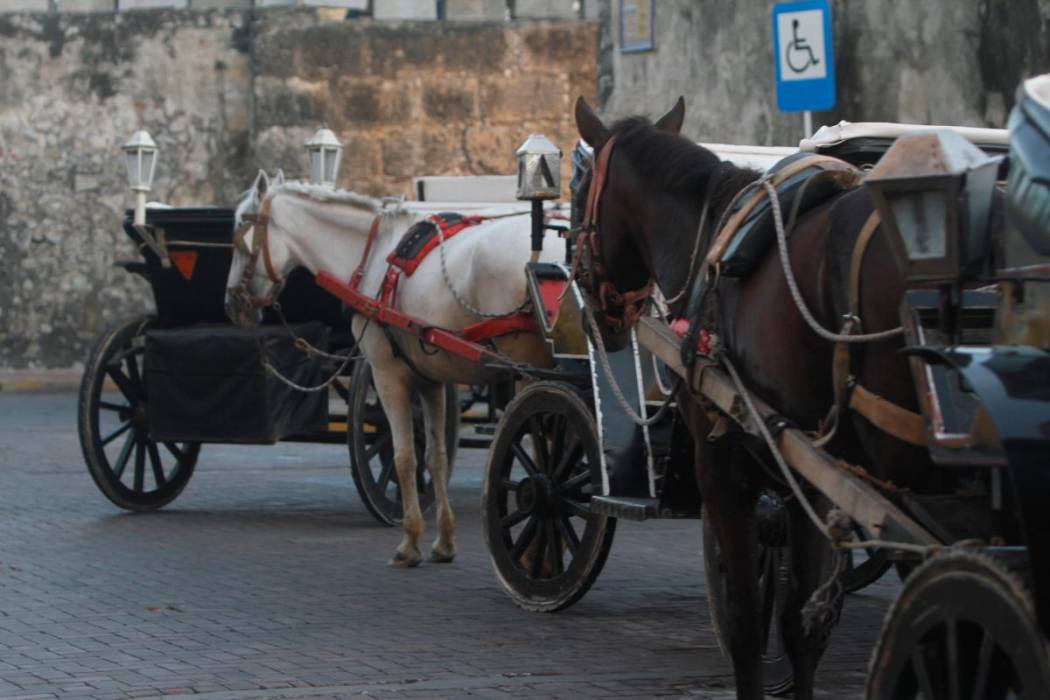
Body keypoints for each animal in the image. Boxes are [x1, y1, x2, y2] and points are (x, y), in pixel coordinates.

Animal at [225, 171, 564, 567]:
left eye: (239, 230)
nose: (232, 304)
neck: (373, 256)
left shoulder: (387, 374)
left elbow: (403, 457)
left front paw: (410, 541)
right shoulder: (431, 380)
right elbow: (435, 457)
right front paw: (443, 541)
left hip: (530, 370)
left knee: (545, 448)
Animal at [571, 97, 938, 699]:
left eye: (578, 195)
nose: (598, 316)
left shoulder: (723, 466)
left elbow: (747, 620)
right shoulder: (811, 480)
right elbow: (799, 624)